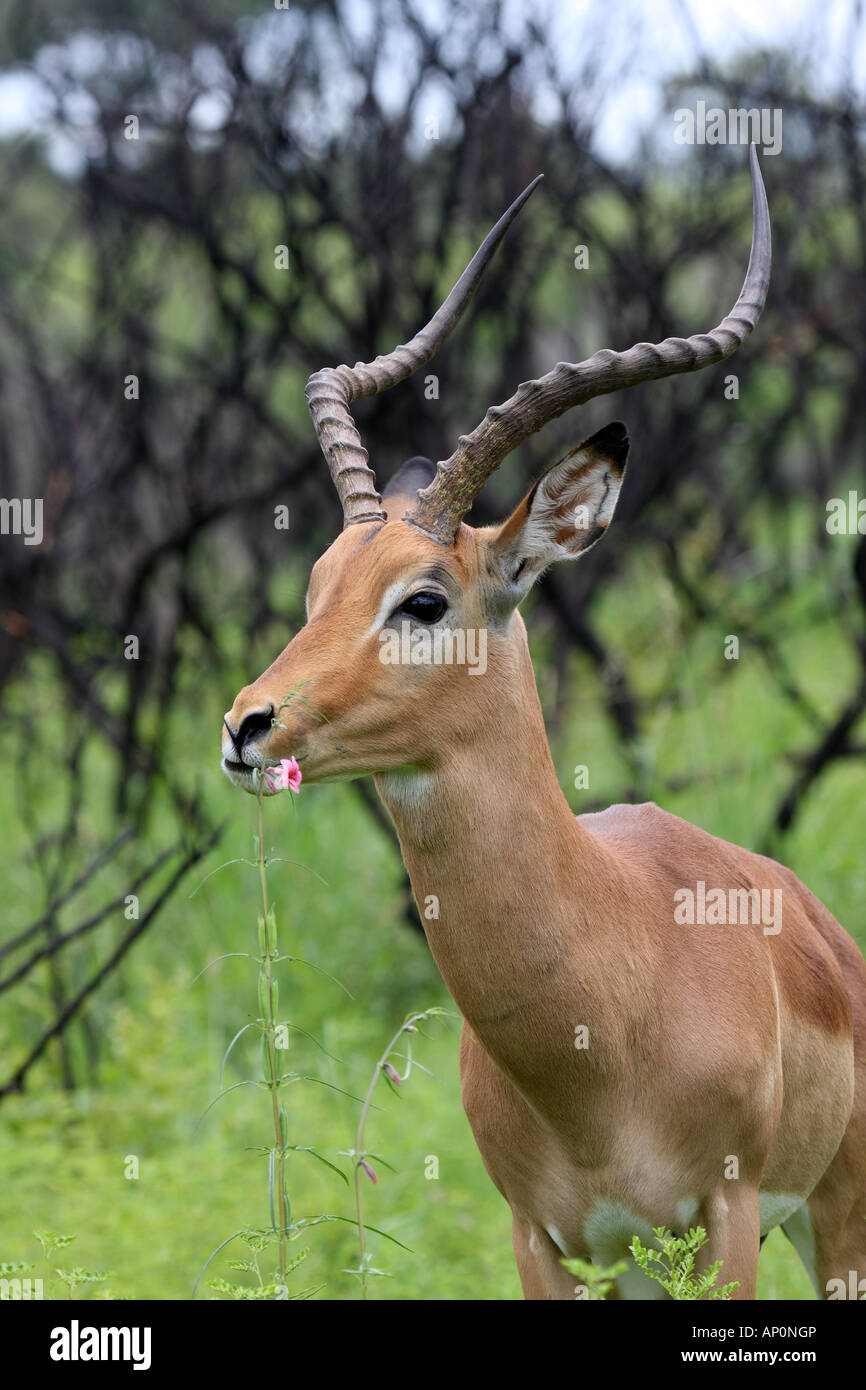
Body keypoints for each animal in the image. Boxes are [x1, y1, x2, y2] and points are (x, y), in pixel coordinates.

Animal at [222, 149, 866, 1300]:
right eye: (318, 584)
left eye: (423, 600)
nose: (247, 726)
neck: (604, 1022)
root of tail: (817, 925)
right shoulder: (541, 1236)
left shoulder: (727, 1220)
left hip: (833, 1216)